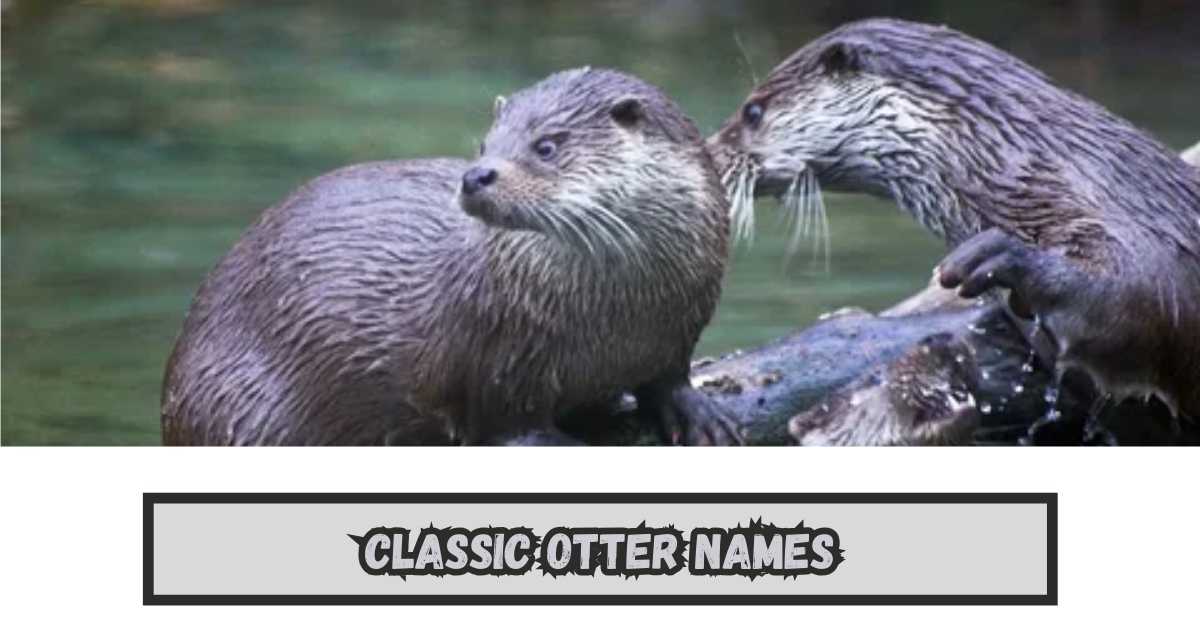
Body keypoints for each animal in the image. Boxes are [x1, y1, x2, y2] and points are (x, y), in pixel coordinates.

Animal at [163, 67, 740, 445]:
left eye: (546, 145)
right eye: (486, 143)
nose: (476, 175)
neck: (617, 317)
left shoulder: (678, 327)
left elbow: (668, 377)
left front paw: (697, 412)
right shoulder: (500, 362)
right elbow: (509, 428)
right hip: (235, 407)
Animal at [710, 18, 1200, 422]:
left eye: (752, 111)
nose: (710, 154)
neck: (1014, 159)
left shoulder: (1125, 215)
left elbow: (1145, 296)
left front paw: (1007, 256)